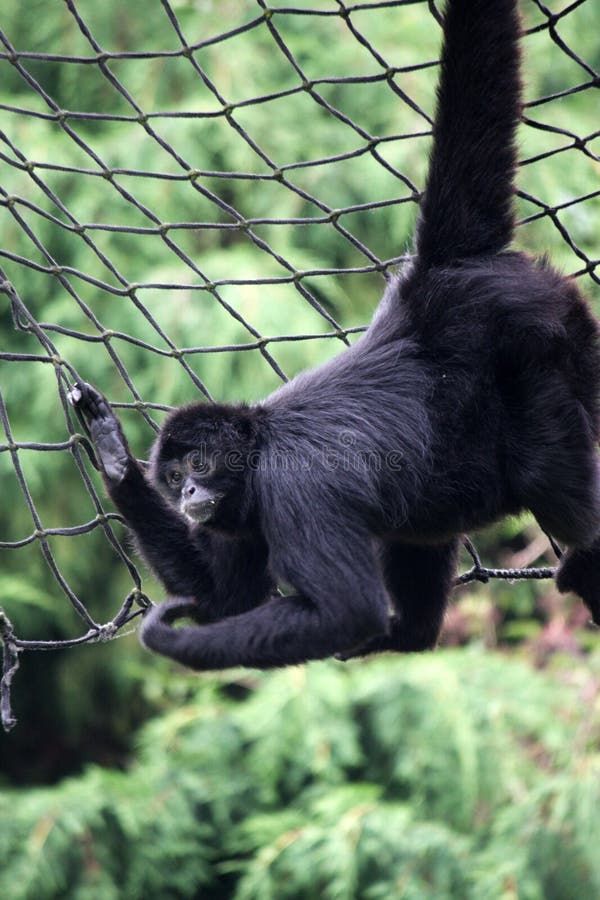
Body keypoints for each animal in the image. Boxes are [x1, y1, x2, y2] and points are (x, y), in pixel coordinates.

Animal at [69, 0, 600, 671]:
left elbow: (345, 610)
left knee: (548, 480)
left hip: (546, 337)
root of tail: (432, 282)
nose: (186, 490)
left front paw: (167, 637)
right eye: (170, 478)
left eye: (198, 463)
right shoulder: (247, 508)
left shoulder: (294, 486)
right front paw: (111, 453)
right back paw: (407, 633)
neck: (262, 443)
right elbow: (228, 597)